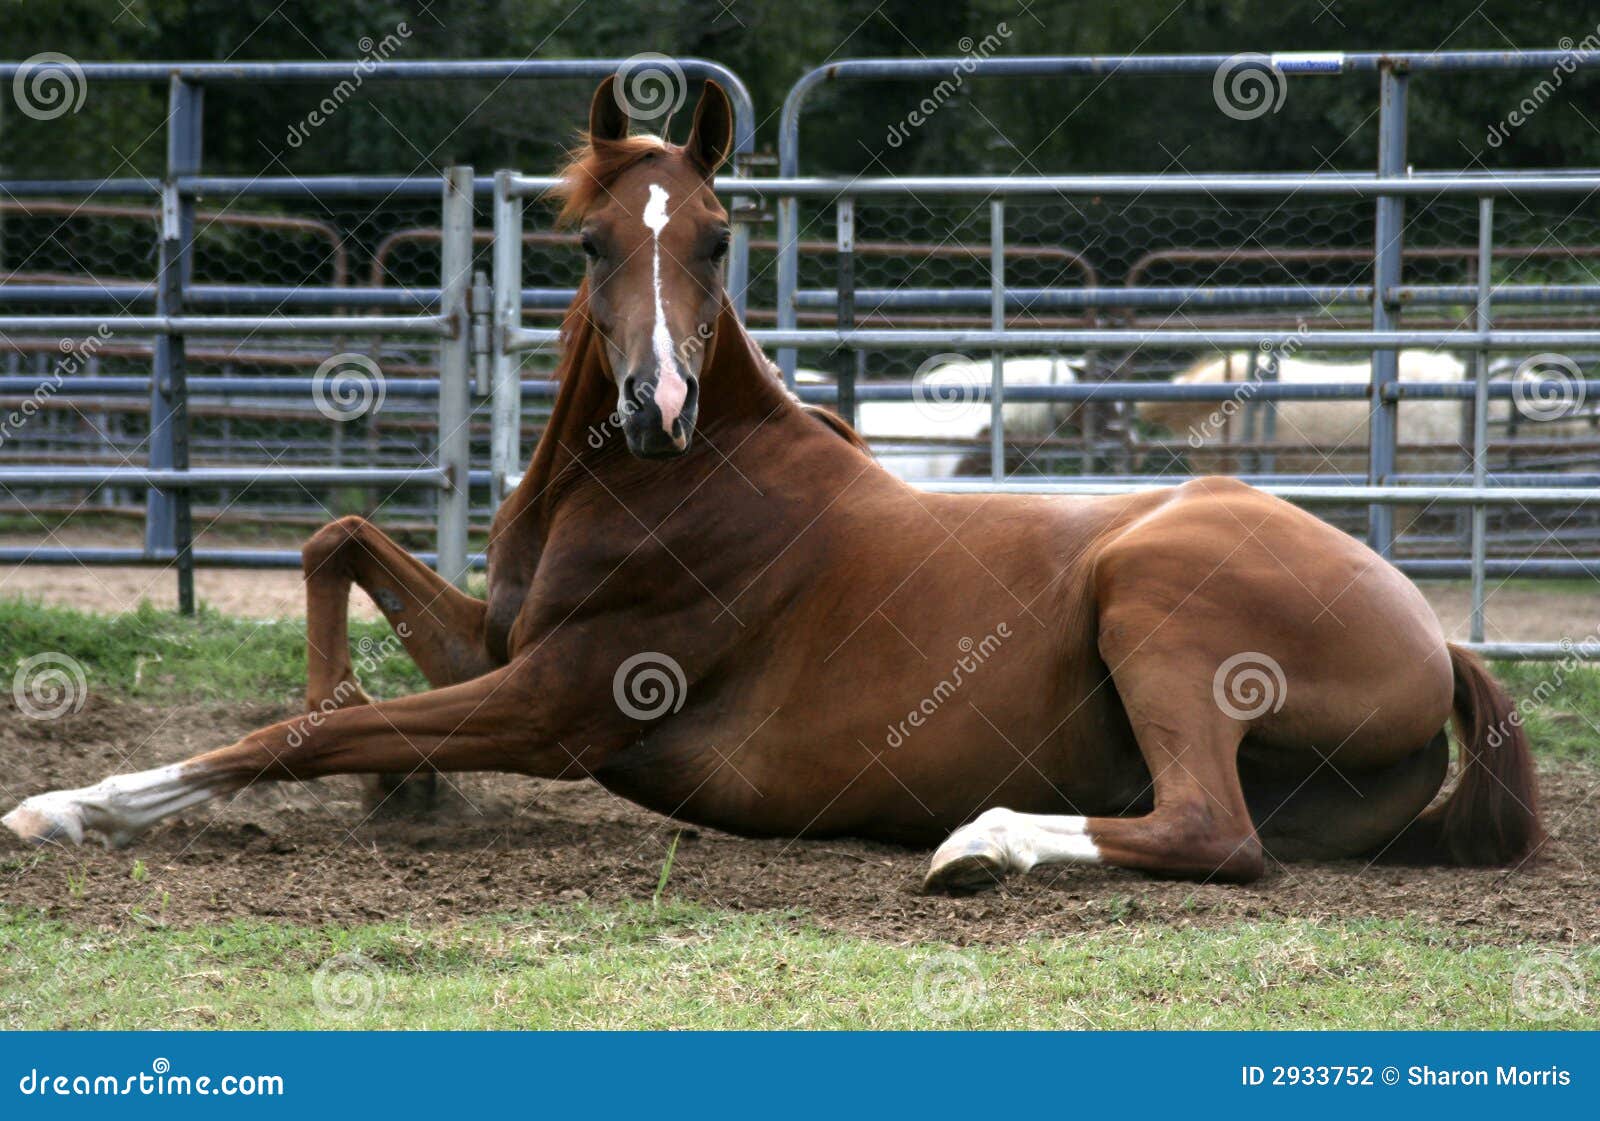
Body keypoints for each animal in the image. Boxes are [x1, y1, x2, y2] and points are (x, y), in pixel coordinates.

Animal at [3, 76, 1545, 892]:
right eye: (589, 246)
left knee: (1208, 833)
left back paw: (976, 839)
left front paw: (69, 807)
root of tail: (1437, 638)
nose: (660, 406)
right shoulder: (500, 646)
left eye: (720, 238)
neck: (678, 488)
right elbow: (333, 542)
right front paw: (401, 781)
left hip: (1154, 598)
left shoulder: (560, 701)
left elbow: (290, 734)